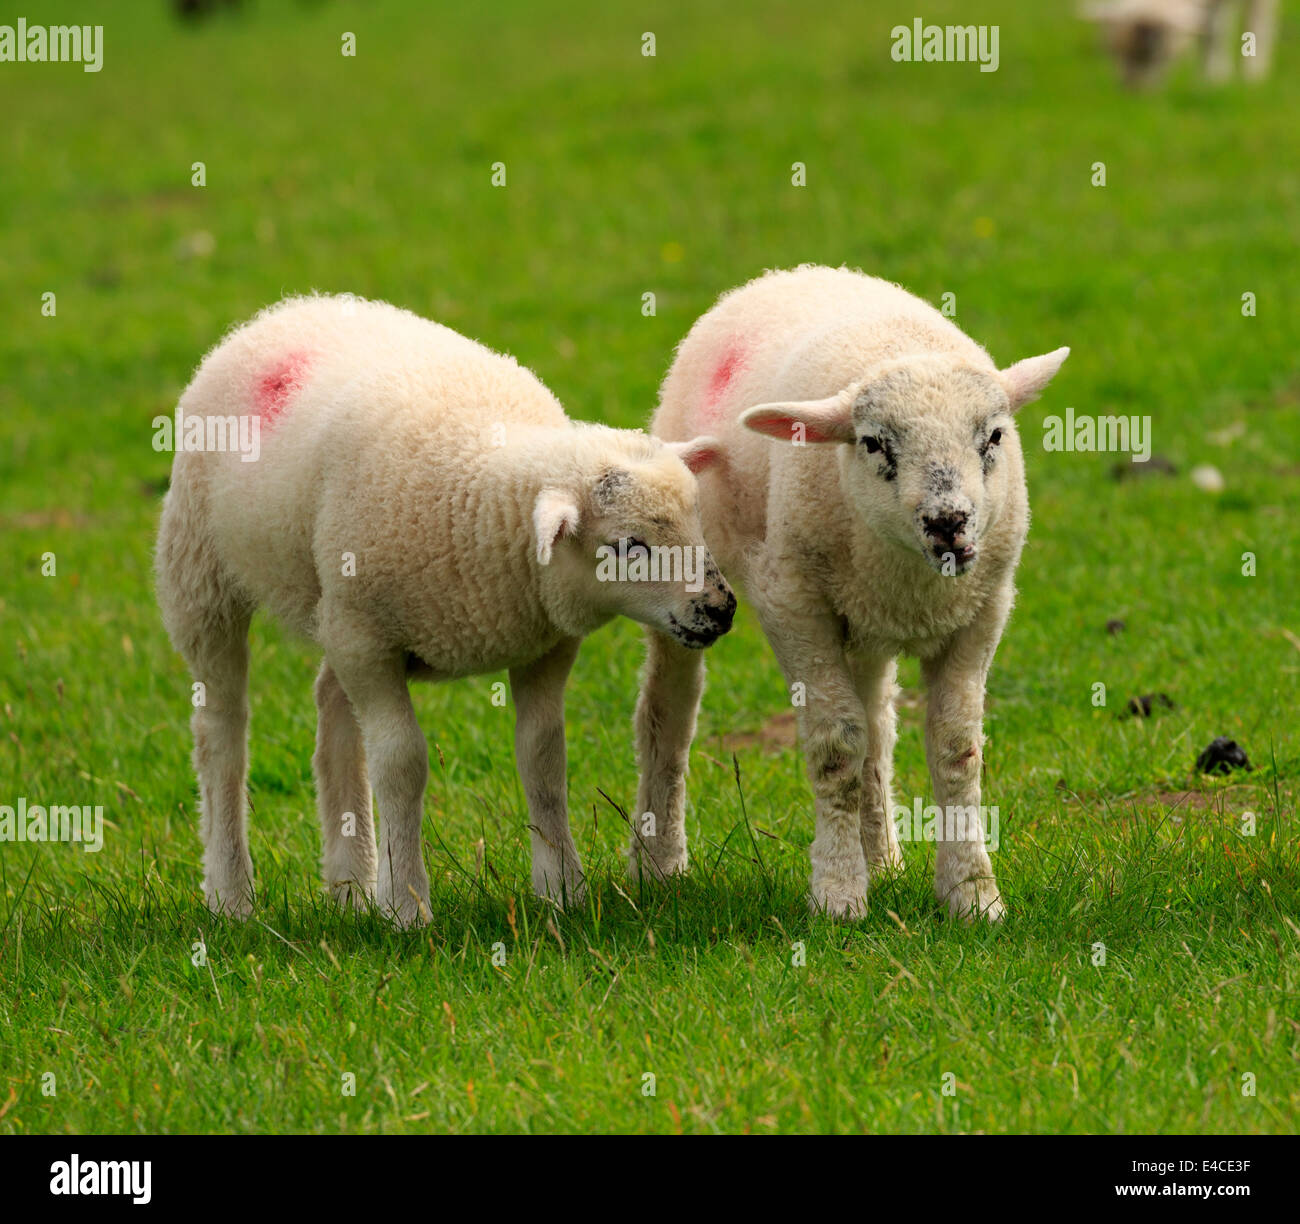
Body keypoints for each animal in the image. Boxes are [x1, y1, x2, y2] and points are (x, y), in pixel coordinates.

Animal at [155, 294, 735, 928]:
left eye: (698, 518)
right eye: (628, 546)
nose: (721, 608)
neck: (481, 489)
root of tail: (287, 310)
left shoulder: (543, 644)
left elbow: (543, 757)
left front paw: (561, 888)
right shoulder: (368, 643)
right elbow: (402, 763)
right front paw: (407, 905)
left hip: (335, 608)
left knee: (332, 711)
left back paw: (351, 887)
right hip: (202, 572)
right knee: (221, 733)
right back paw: (232, 895)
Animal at [633, 266, 1069, 921]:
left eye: (994, 436)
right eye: (872, 443)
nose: (948, 522)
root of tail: (790, 273)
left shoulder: (984, 610)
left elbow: (955, 748)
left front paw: (972, 894)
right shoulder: (794, 606)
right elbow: (837, 746)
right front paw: (839, 893)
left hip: (865, 622)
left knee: (878, 727)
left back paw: (883, 859)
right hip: (685, 578)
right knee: (668, 714)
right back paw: (658, 864)